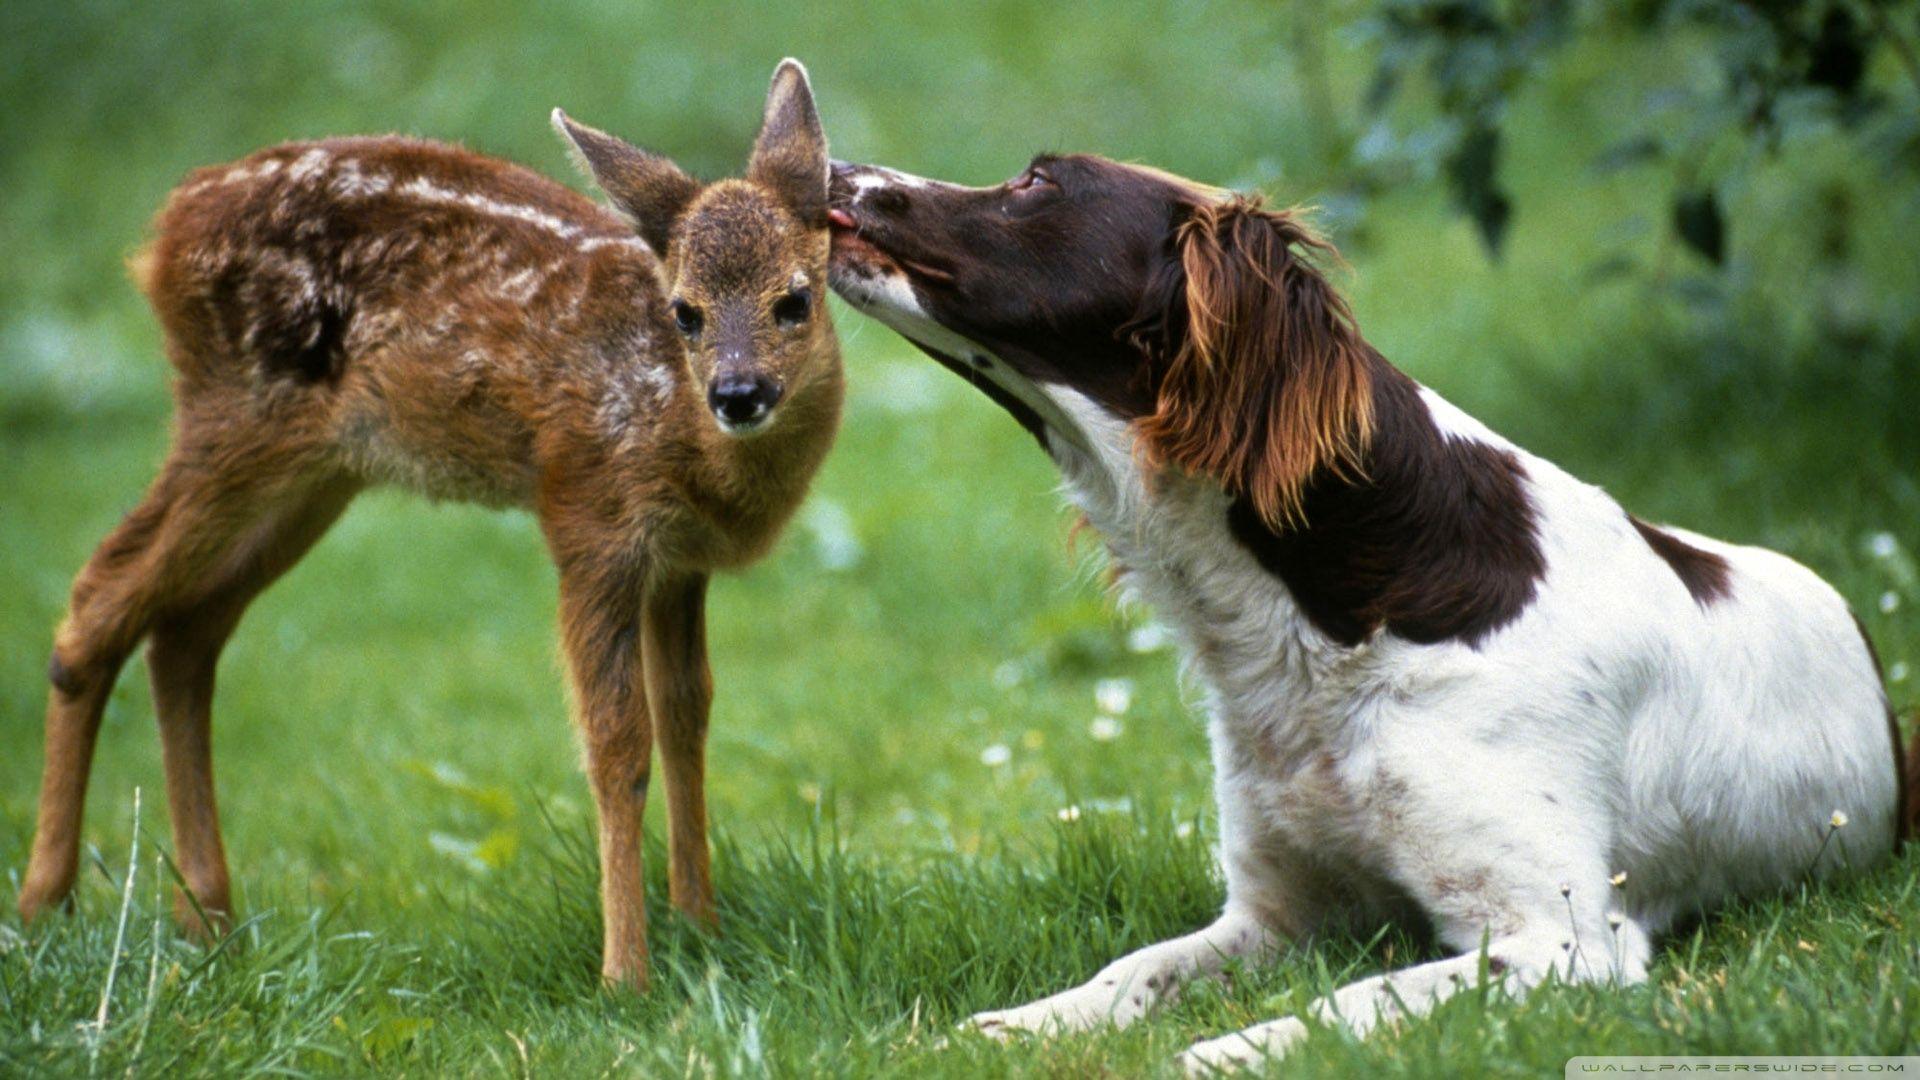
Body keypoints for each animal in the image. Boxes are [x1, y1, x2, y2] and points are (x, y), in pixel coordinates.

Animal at [16, 59, 841, 990]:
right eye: (686, 312)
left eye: (795, 300)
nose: (738, 393)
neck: (681, 432)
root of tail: (164, 232)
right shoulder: (589, 517)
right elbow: (616, 744)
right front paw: (626, 975)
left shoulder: (678, 562)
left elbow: (686, 720)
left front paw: (699, 927)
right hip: (237, 417)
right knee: (101, 595)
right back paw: (46, 904)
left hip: (317, 474)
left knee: (185, 632)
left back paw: (209, 918)